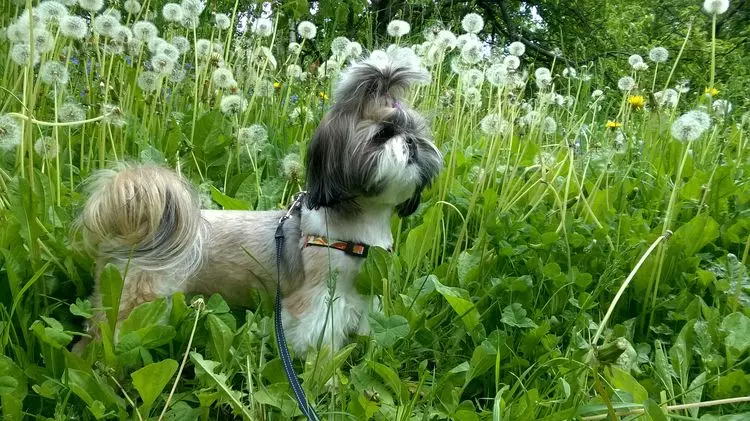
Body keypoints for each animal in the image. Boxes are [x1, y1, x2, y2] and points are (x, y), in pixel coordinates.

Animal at [74, 53, 444, 354]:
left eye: (418, 132)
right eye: (383, 134)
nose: (412, 142)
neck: (360, 229)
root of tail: (139, 229)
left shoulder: (366, 297)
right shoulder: (319, 303)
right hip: (133, 302)